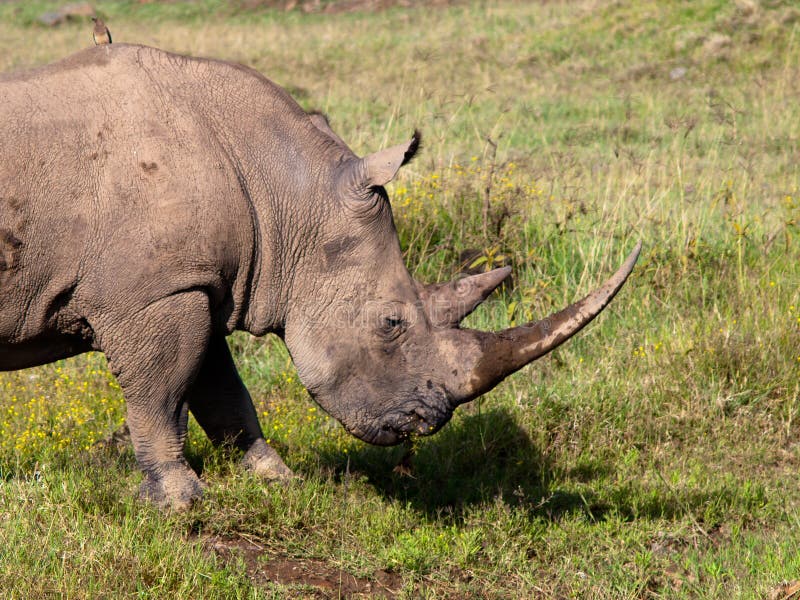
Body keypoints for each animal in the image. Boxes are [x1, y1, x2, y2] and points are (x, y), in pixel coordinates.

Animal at [0, 44, 641, 508]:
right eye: (390, 324)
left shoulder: (197, 283)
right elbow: (162, 393)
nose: (429, 421)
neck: (283, 189)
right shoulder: (156, 293)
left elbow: (222, 390)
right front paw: (181, 503)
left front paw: (276, 480)